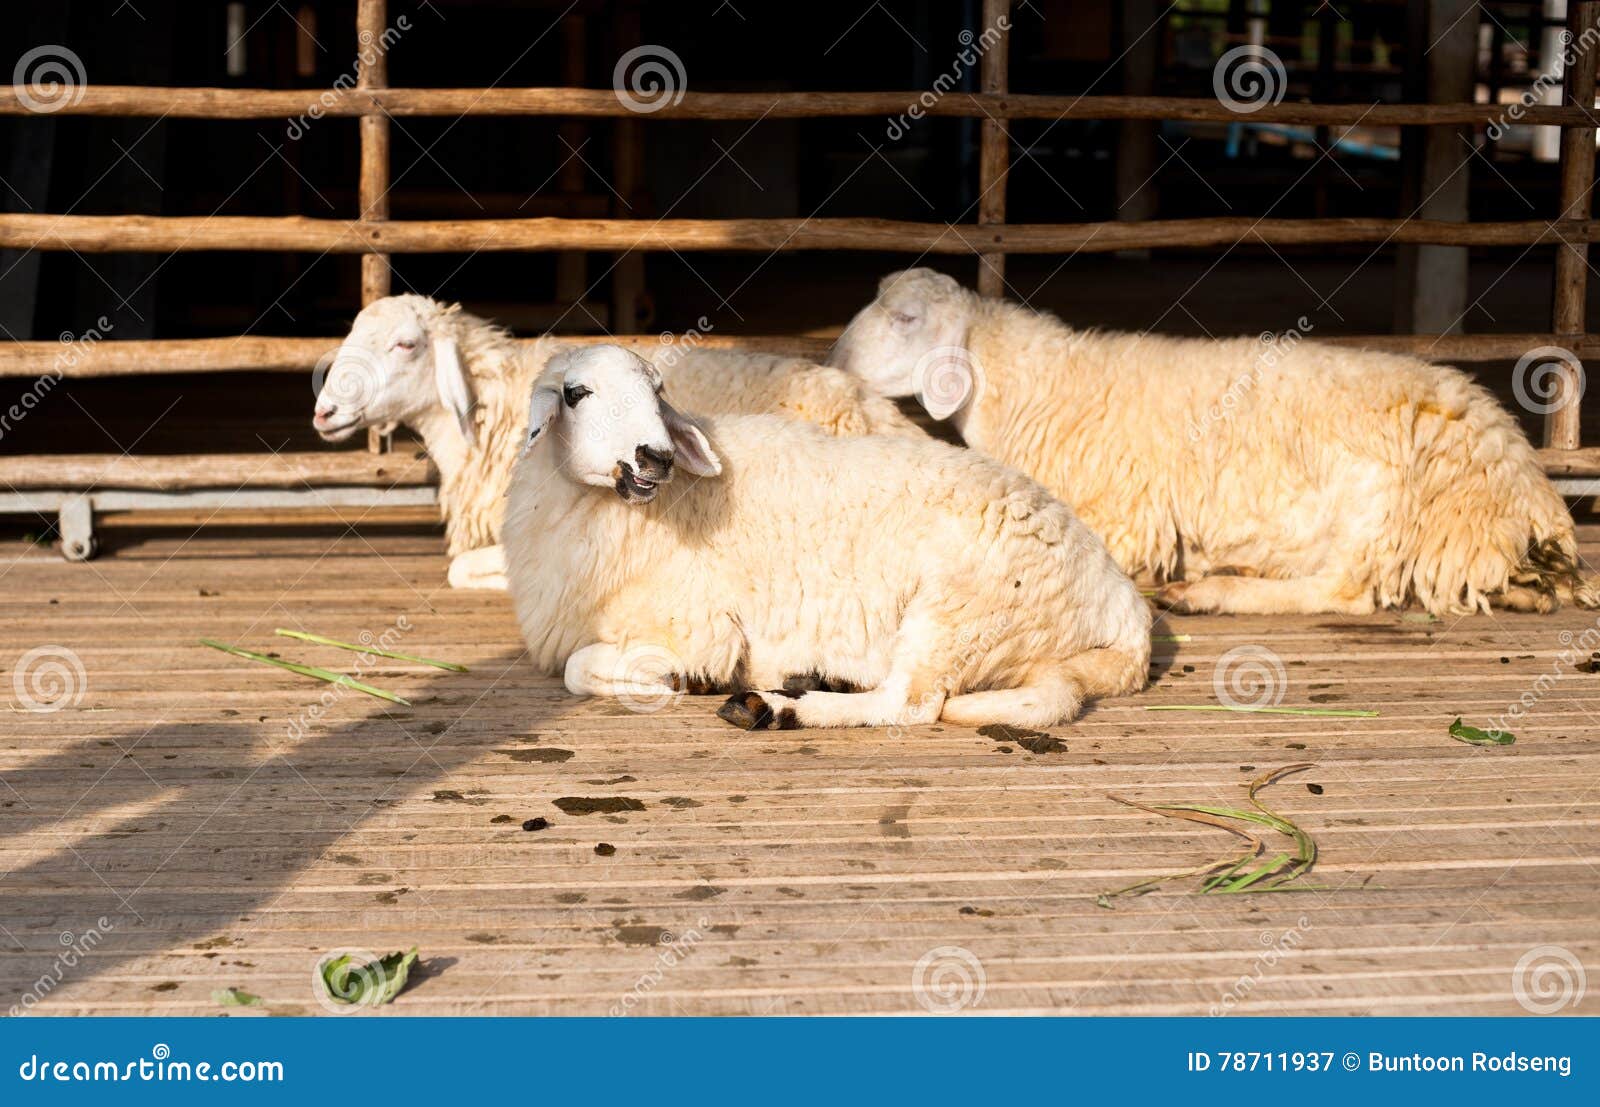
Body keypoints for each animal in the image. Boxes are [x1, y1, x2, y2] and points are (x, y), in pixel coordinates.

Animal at [501, 344, 1151, 730]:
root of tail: (1125, 607)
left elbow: (578, 668)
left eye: (659, 394)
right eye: (575, 393)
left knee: (909, 704)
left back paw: (780, 706)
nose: (654, 456)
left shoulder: (694, 626)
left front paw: (677, 682)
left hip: (961, 610)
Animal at [827, 268, 1599, 617]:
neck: (1035, 386)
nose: (834, 358)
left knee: (1344, 590)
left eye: (906, 318)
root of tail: (1521, 477)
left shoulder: (1119, 517)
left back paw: (1210, 591)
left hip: (1377, 501)